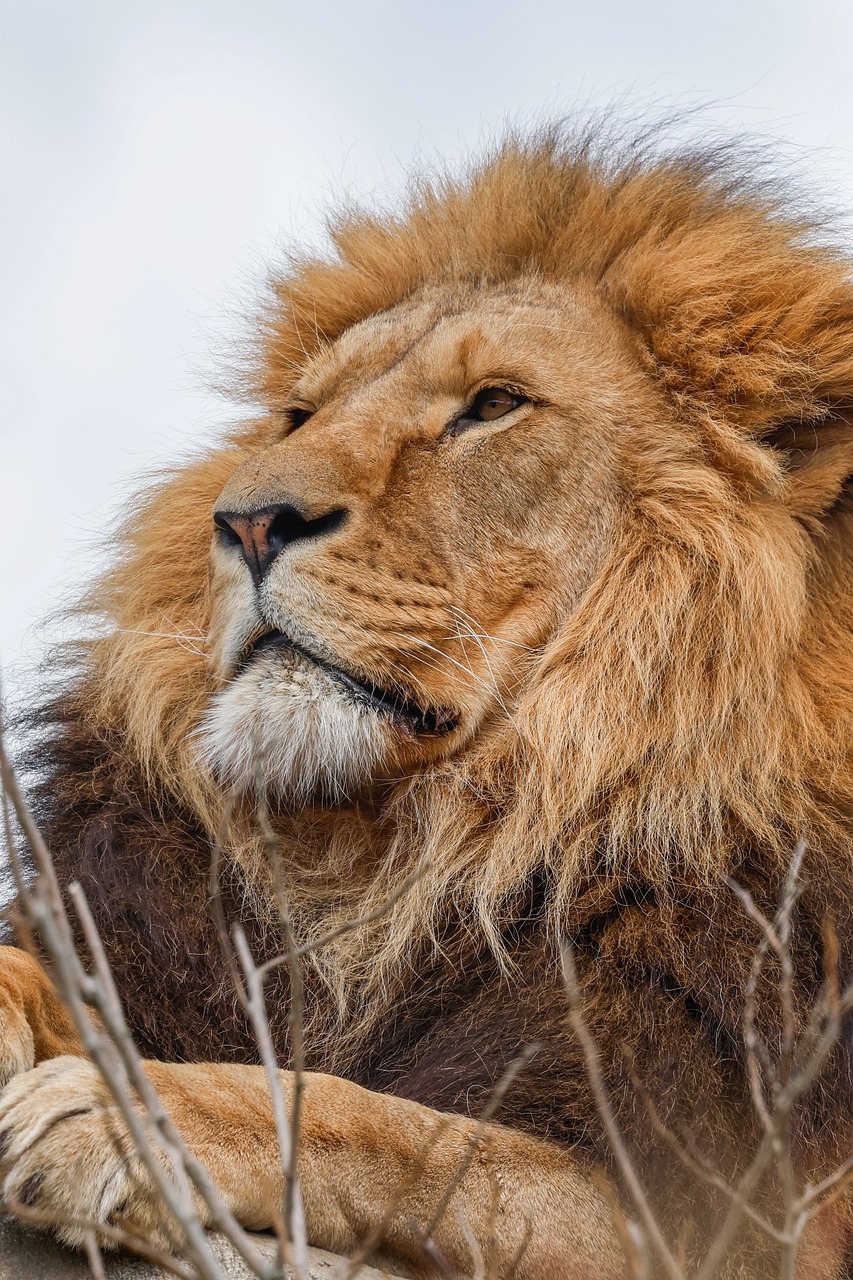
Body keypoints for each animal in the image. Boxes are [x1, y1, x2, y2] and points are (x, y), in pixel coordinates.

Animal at [2, 123, 853, 1278]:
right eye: (301, 414)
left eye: (492, 405)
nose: (247, 520)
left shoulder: (710, 1213)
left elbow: (404, 1131)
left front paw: (125, 1111)